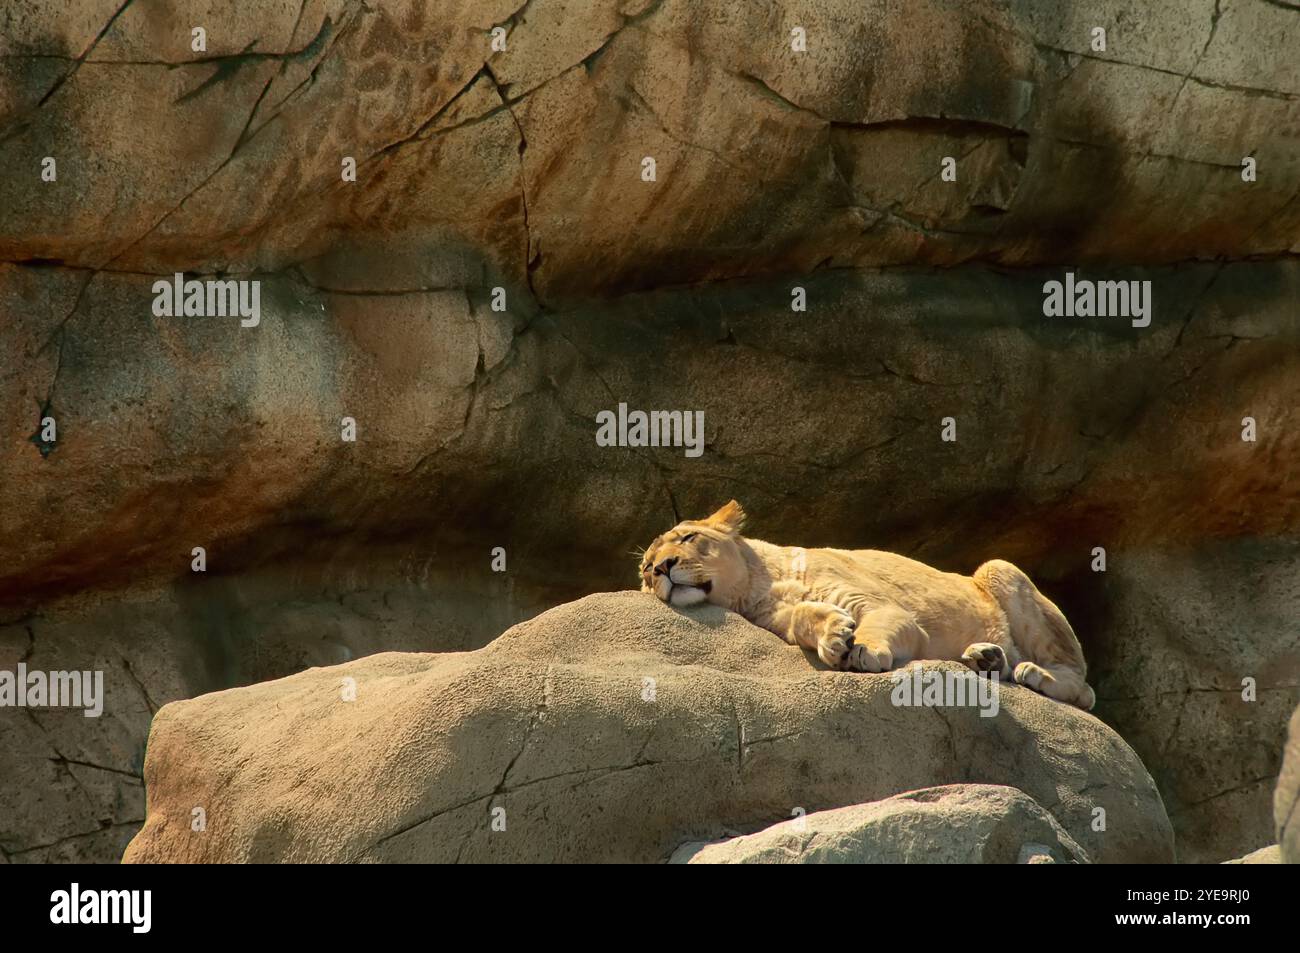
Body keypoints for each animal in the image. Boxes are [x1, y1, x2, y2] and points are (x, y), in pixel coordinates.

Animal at [637, 500, 1095, 710]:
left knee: (1084, 687)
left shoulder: (890, 610)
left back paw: (1036, 674)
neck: (762, 587)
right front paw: (833, 635)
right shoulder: (781, 617)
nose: (661, 568)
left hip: (999, 568)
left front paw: (864, 650)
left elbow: (878, 624)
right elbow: (804, 616)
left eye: (688, 538)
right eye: (644, 568)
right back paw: (985, 657)